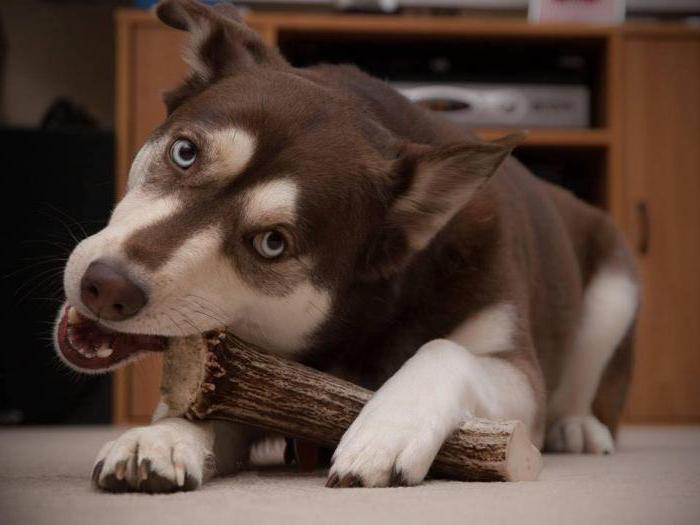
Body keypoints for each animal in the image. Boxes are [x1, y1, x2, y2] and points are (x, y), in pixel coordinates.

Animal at [52, 0, 636, 492]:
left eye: (271, 243)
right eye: (184, 153)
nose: (107, 286)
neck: (356, 327)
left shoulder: (518, 374)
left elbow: (445, 350)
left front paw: (388, 426)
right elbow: (208, 406)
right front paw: (164, 436)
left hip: (616, 290)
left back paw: (579, 428)